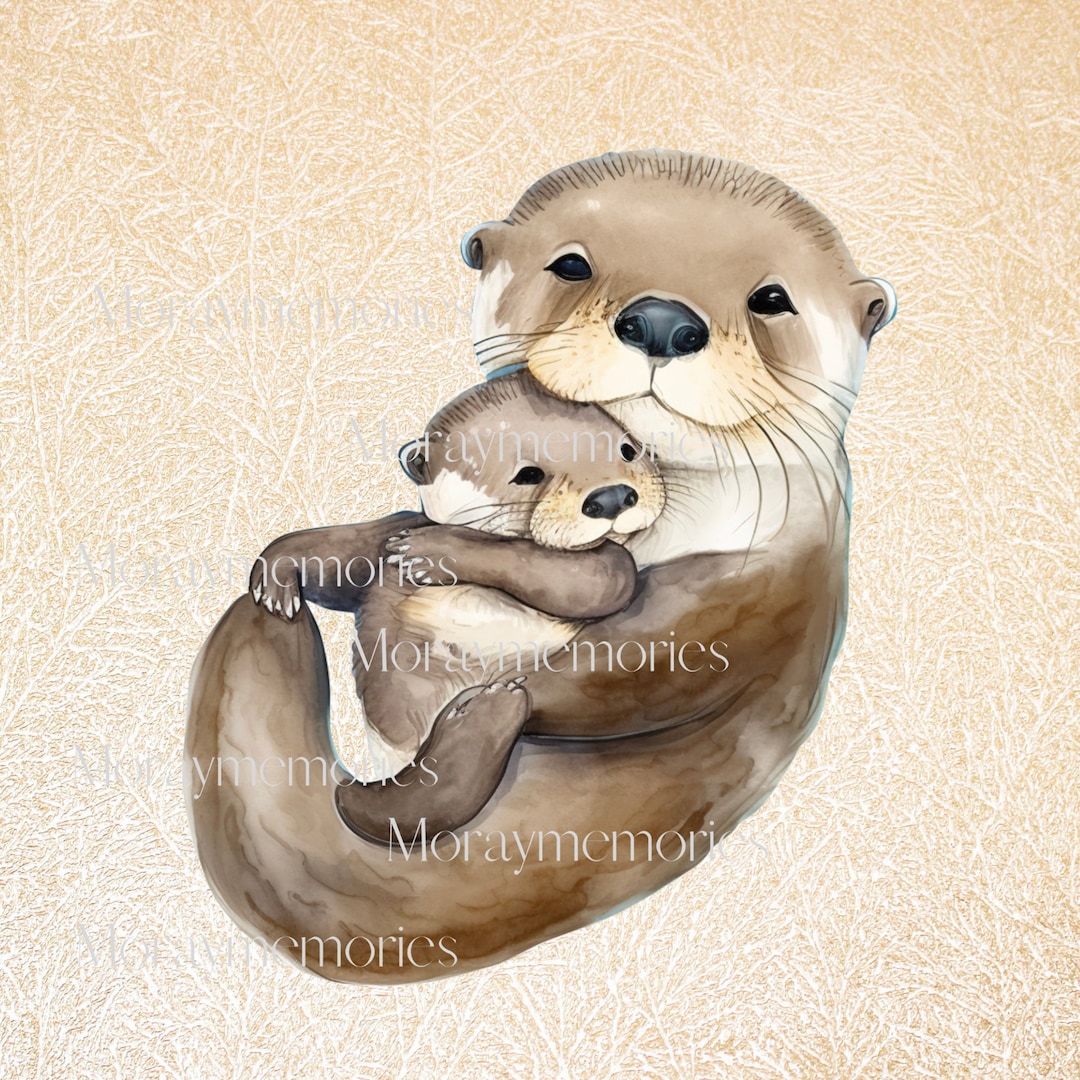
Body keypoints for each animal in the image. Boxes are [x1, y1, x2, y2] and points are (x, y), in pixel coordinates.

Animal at [184, 150, 895, 983]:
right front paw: (284, 564)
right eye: (572, 264)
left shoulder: (754, 591)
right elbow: (375, 542)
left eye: (771, 299)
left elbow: (625, 660)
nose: (662, 321)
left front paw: (457, 589)